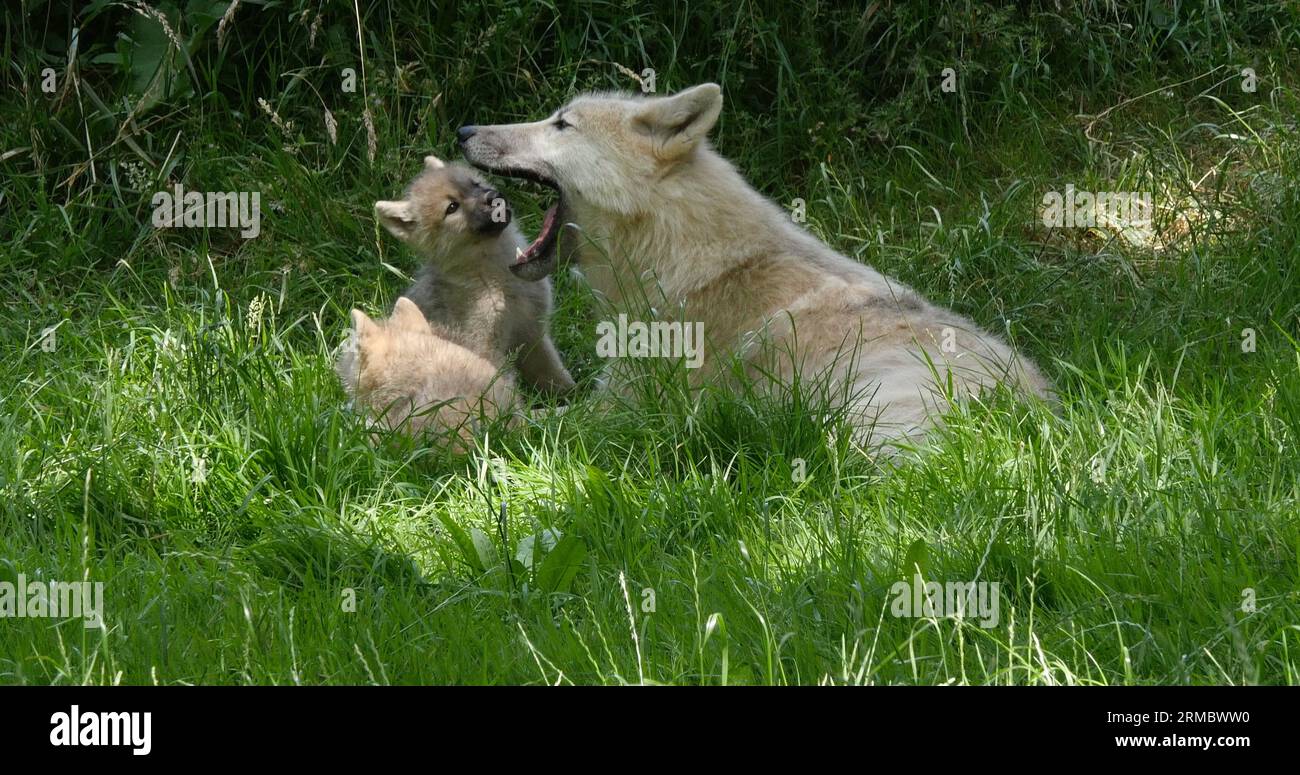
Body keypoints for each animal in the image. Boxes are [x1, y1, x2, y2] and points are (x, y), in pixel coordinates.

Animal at [374, 155, 574, 396]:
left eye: (474, 184)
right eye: (452, 207)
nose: (493, 197)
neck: (500, 278)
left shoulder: (532, 332)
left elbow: (552, 372)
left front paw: (575, 397)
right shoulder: (486, 346)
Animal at [457, 83, 1051, 448]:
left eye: (562, 124)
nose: (463, 130)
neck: (674, 252)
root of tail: (1039, 415)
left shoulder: (620, 410)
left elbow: (522, 423)